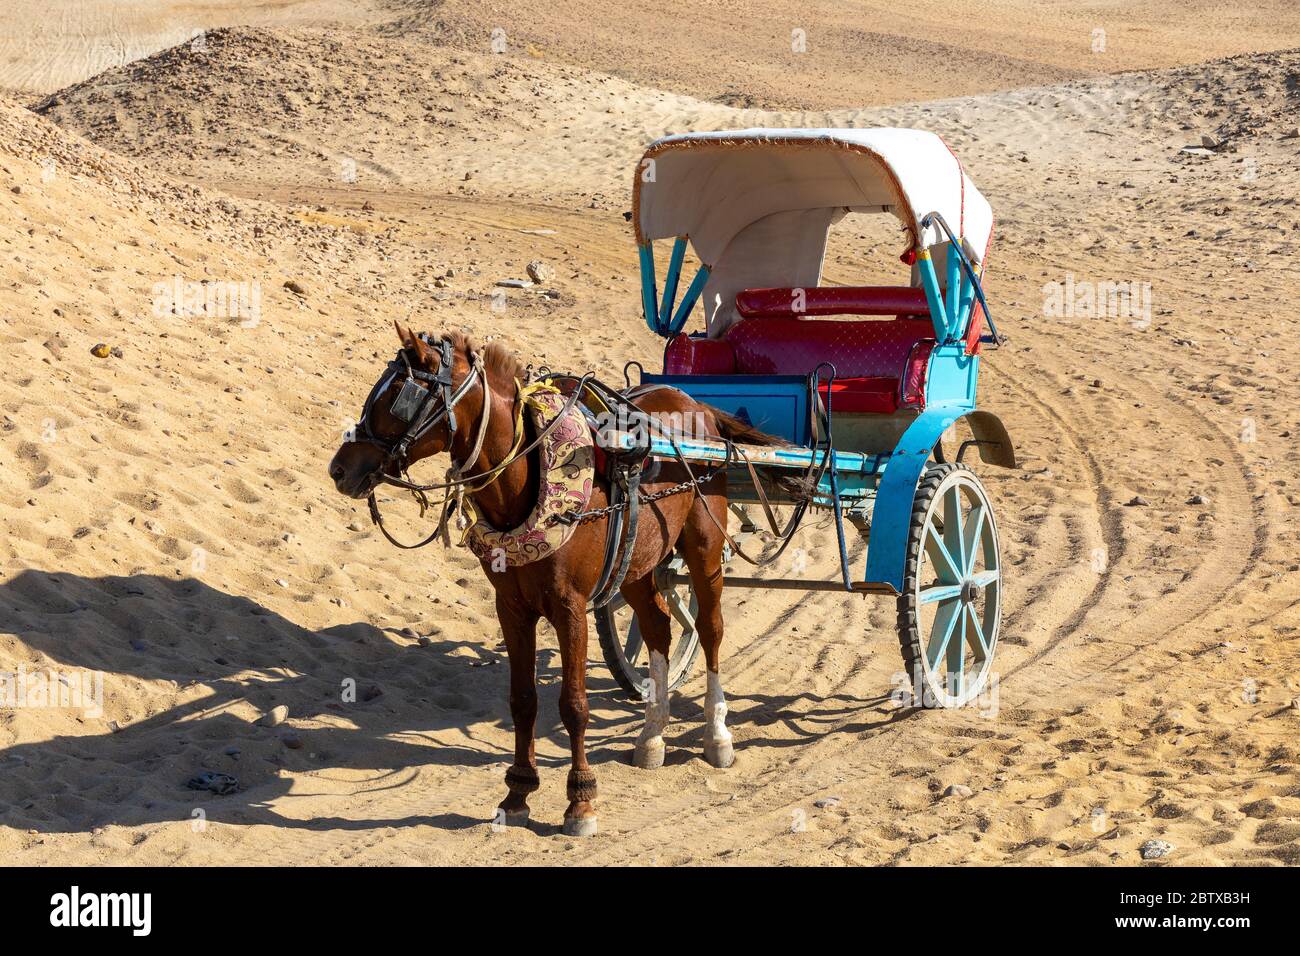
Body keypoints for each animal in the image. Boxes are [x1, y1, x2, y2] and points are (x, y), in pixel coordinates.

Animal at [328, 323, 791, 836]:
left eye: (400, 395)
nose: (339, 469)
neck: (527, 478)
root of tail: (696, 405)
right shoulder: (511, 608)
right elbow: (523, 699)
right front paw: (517, 793)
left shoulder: (571, 608)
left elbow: (574, 705)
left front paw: (580, 801)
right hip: (637, 562)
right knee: (658, 627)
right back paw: (652, 736)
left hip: (704, 549)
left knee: (709, 630)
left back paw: (716, 735)